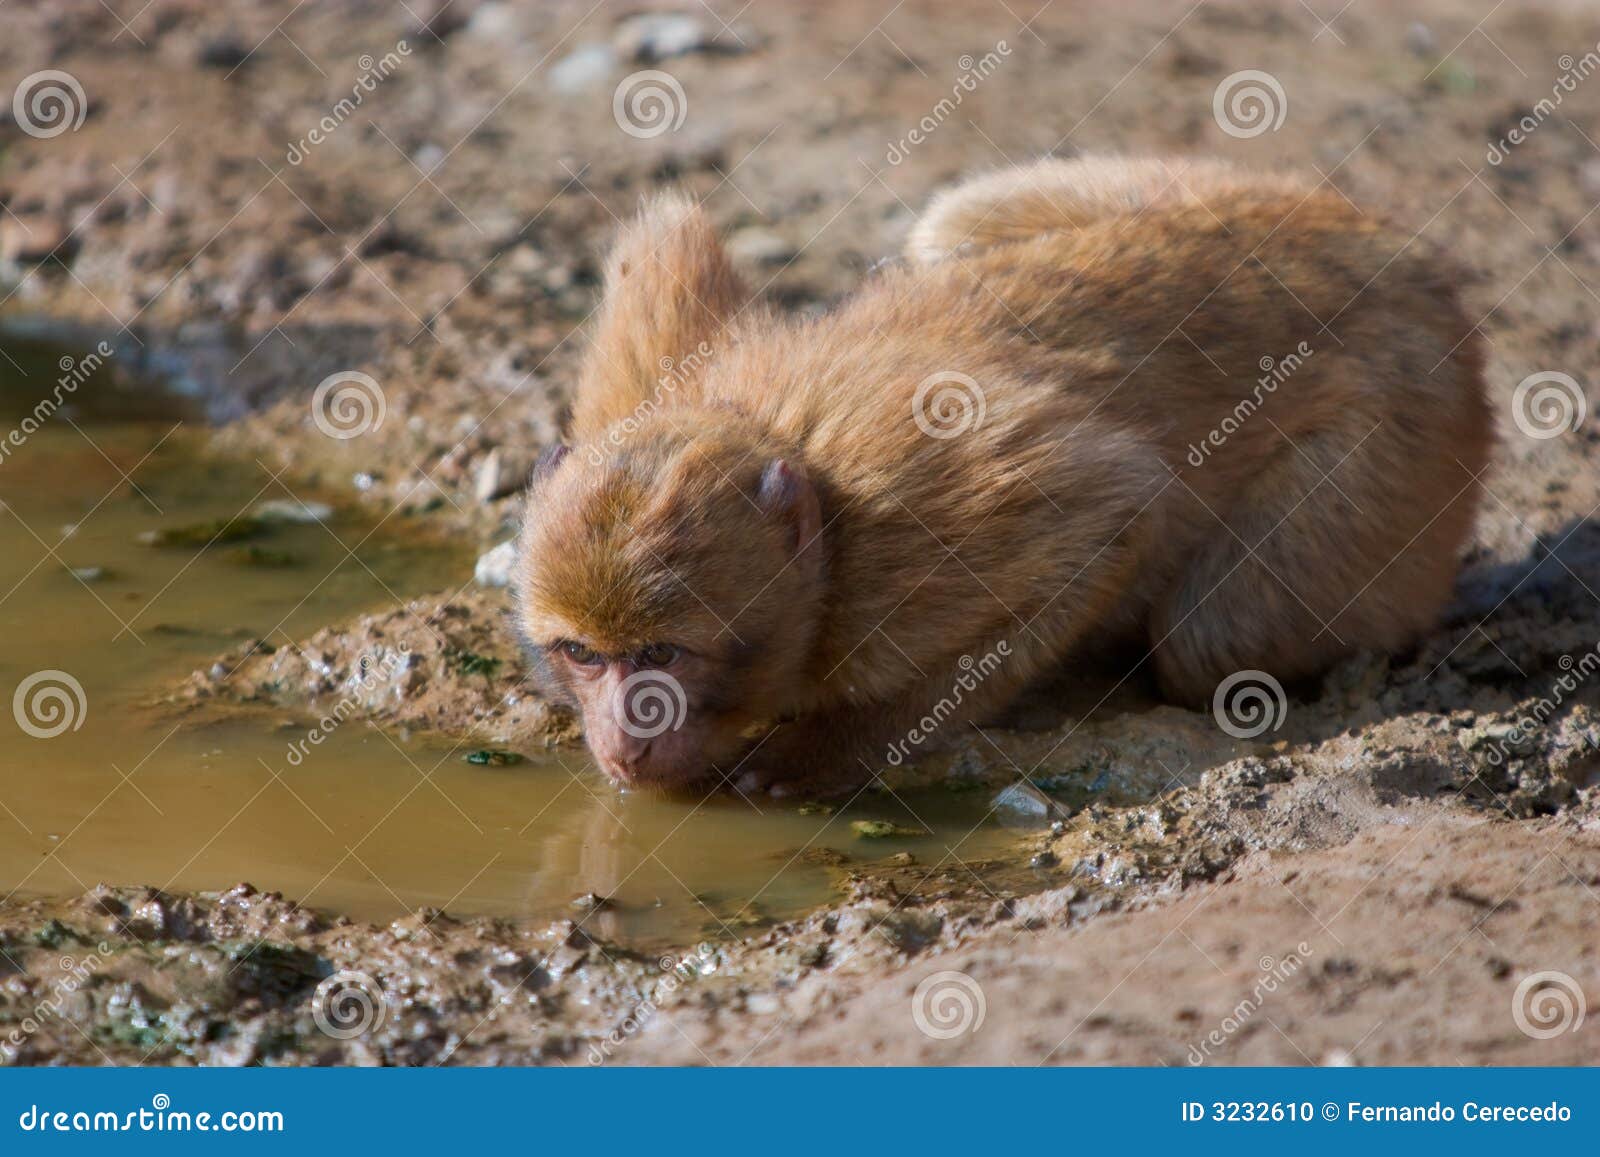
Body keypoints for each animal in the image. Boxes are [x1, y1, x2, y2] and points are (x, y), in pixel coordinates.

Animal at [513, 155, 1489, 795]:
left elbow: (1114, 504)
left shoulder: (913, 524)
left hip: (1410, 435)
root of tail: (1412, 266)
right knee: (955, 219)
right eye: (582, 654)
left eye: (662, 655)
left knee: (1209, 638)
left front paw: (828, 753)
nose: (621, 741)